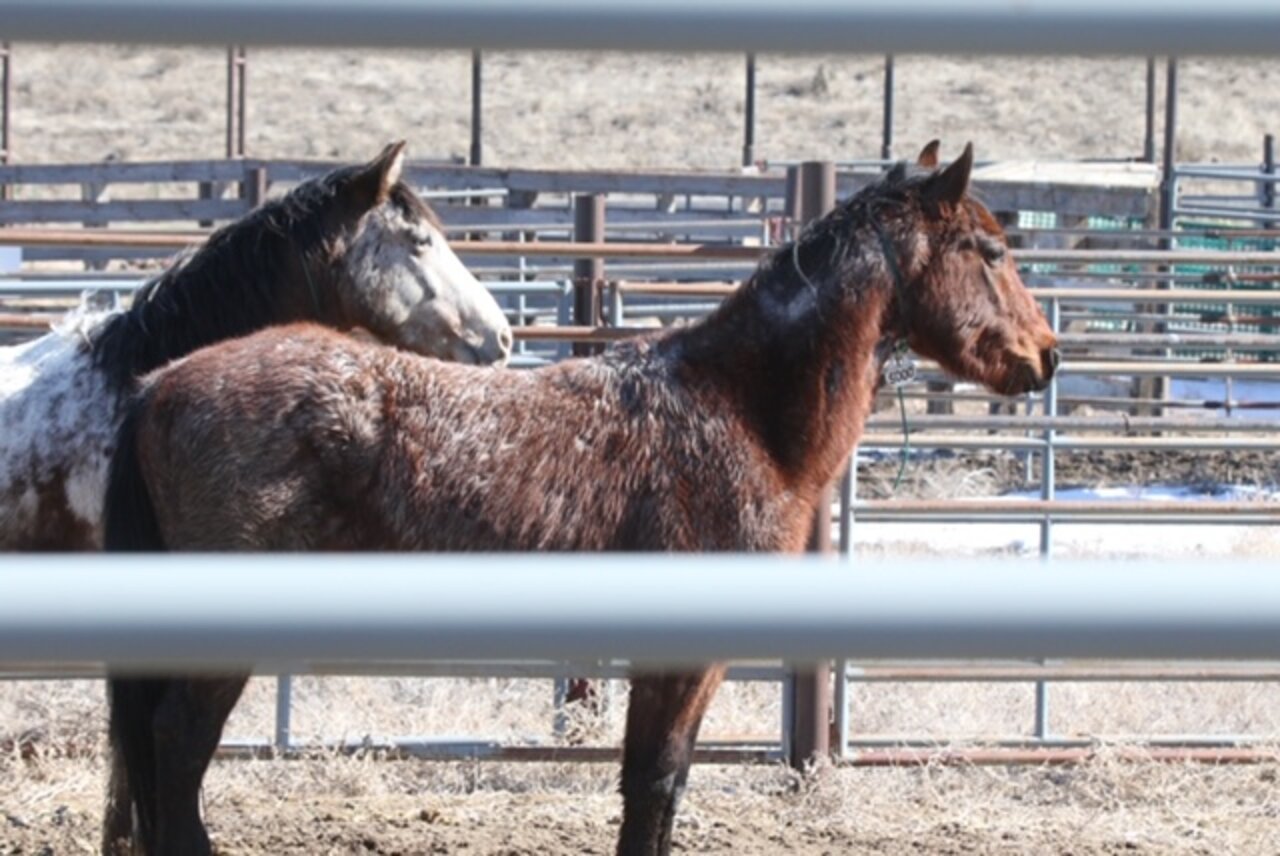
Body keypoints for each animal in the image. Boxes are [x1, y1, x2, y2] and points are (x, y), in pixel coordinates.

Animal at [102, 142, 1058, 856]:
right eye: (992, 251)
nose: (1045, 355)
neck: (735, 407)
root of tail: (156, 385)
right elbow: (652, 786)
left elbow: (657, 786)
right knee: (177, 749)